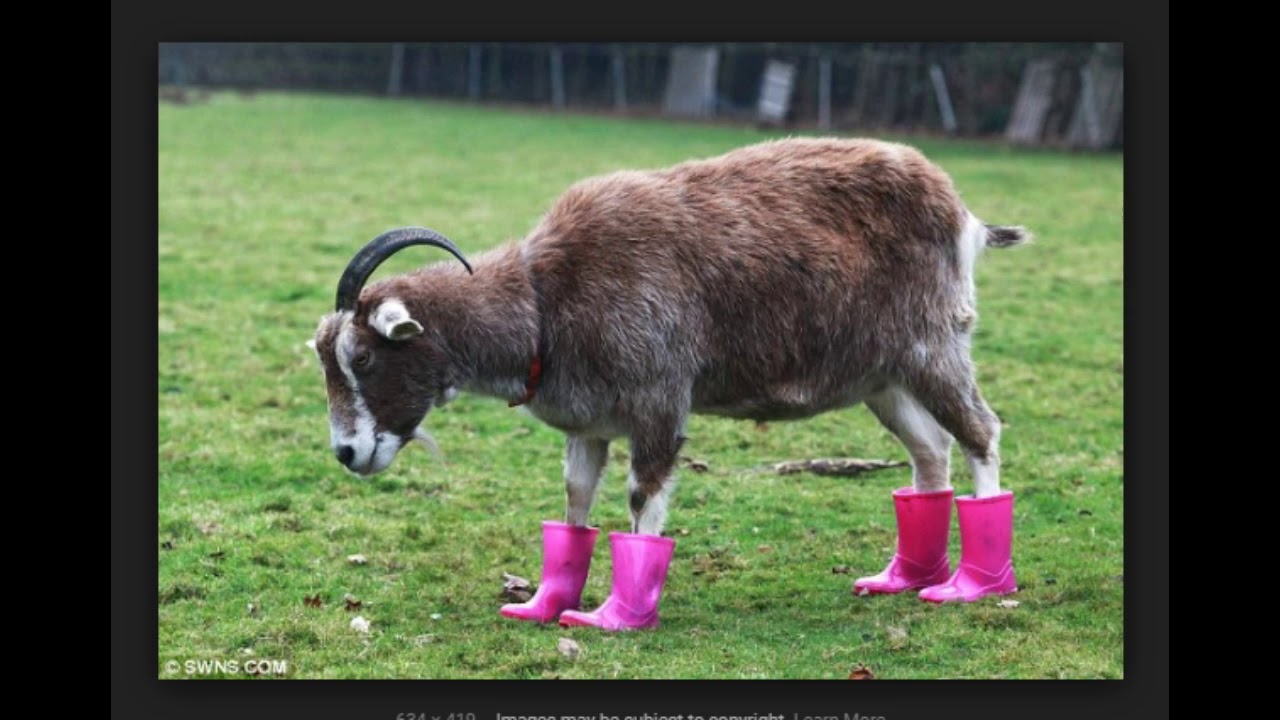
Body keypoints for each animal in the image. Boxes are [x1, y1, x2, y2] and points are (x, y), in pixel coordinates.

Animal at [310, 137, 1029, 629]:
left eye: (363, 358)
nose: (346, 453)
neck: (546, 300)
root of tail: (961, 214)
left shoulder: (658, 401)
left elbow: (640, 501)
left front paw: (616, 618)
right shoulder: (589, 423)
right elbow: (574, 504)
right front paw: (546, 603)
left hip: (934, 348)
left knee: (980, 433)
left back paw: (974, 585)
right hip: (883, 378)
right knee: (930, 452)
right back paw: (905, 579)